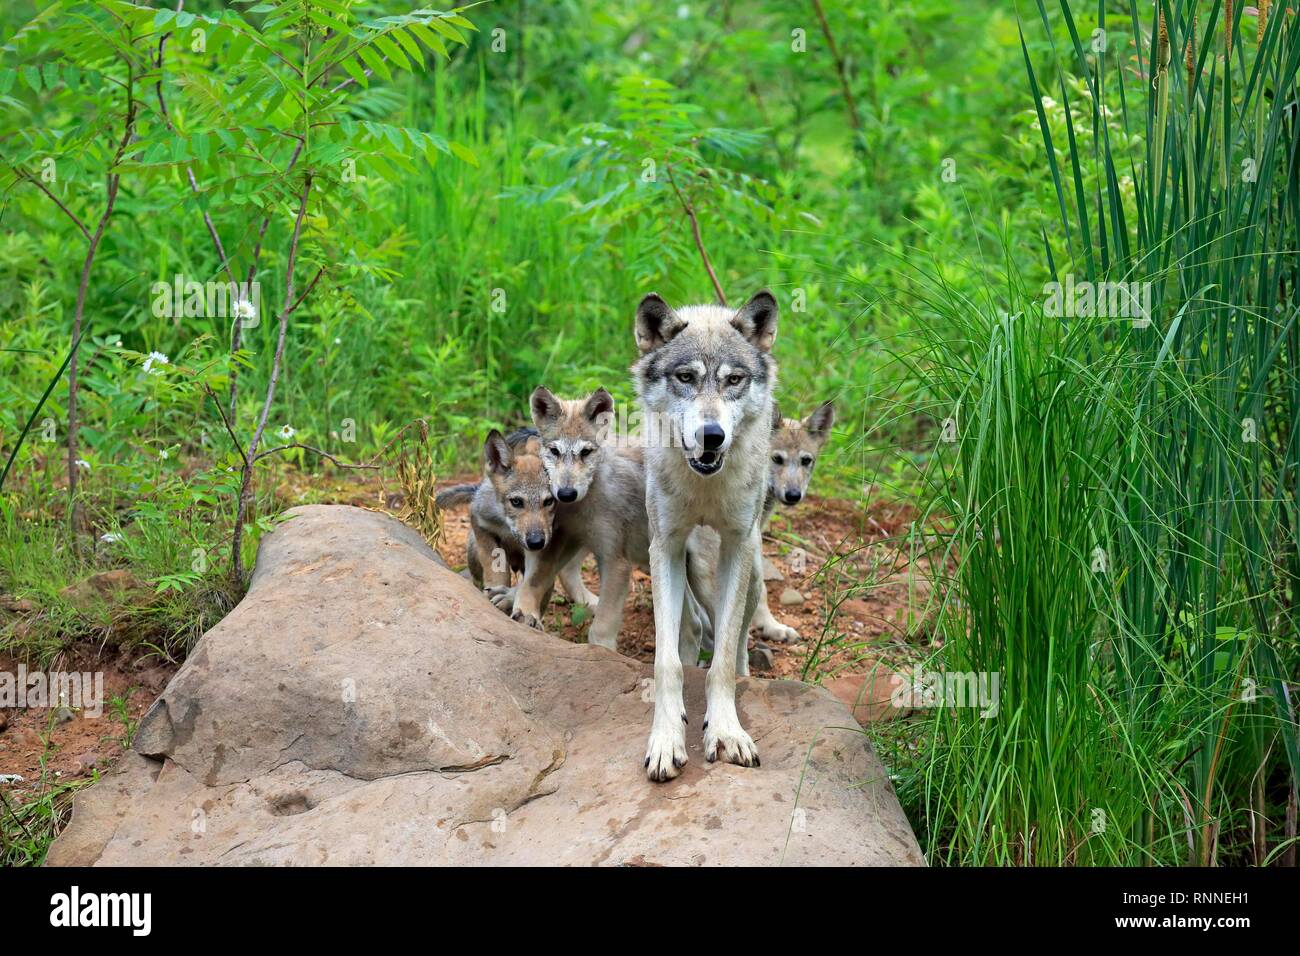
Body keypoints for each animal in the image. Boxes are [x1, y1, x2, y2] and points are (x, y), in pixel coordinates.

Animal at [632, 289, 779, 781]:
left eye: (734, 379)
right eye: (685, 378)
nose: (711, 436)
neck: (704, 484)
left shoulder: (735, 546)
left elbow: (723, 661)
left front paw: (726, 732)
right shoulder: (666, 545)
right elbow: (667, 663)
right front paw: (665, 740)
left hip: (741, 572)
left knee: (737, 640)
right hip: (690, 565)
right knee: (691, 628)